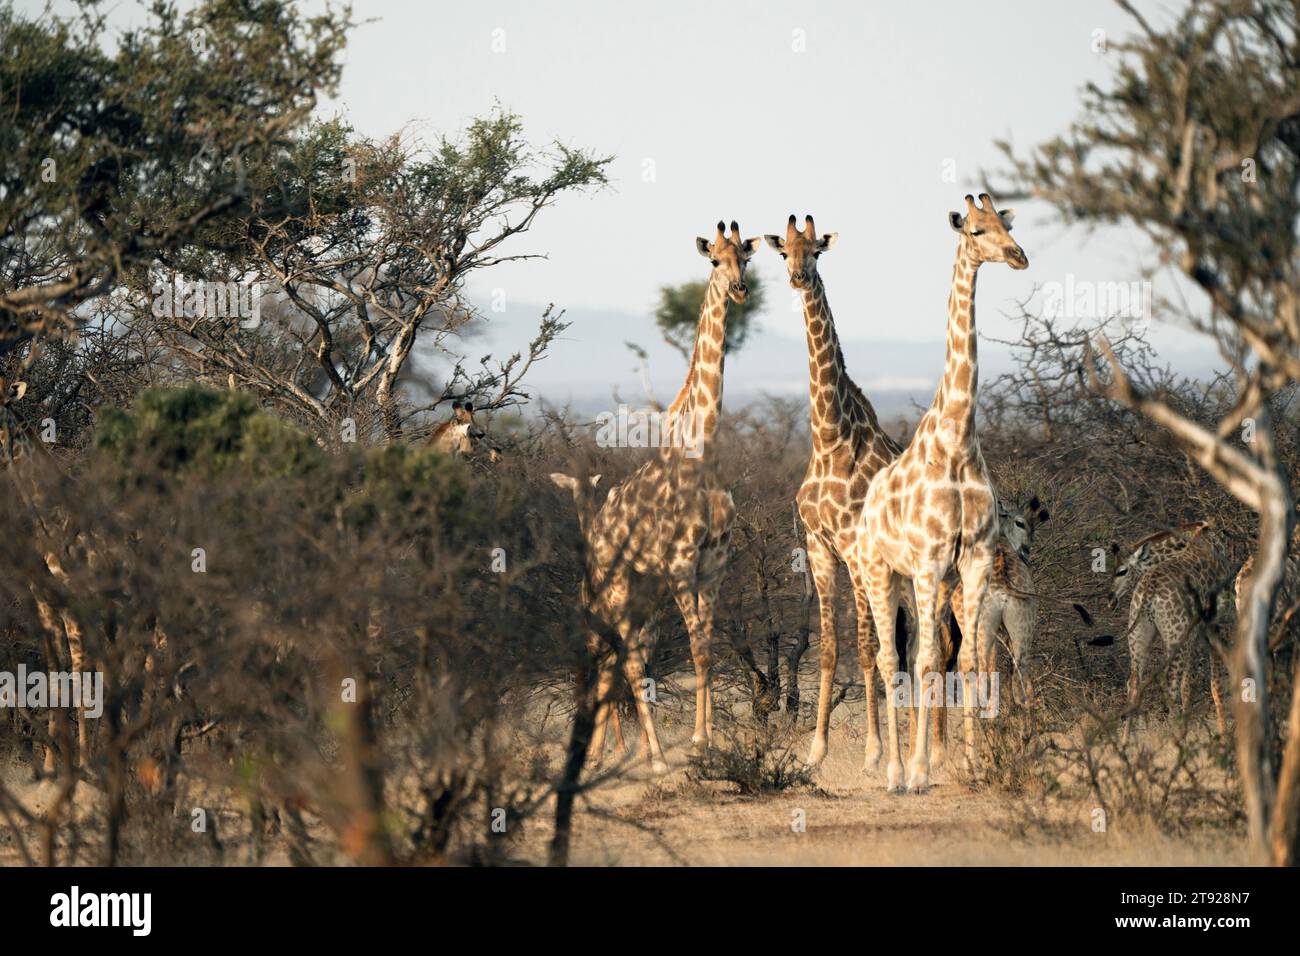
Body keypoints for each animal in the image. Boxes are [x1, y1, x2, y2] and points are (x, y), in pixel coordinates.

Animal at [559, 221, 757, 772]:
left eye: (746, 258)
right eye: (714, 261)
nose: (740, 290)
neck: (701, 450)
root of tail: (596, 532)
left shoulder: (714, 564)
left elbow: (706, 648)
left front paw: (708, 740)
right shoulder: (680, 562)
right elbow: (699, 648)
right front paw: (695, 744)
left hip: (643, 594)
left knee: (627, 661)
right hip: (620, 592)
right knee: (624, 661)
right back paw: (653, 759)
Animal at [762, 214, 903, 769]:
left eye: (817, 251)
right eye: (784, 252)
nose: (798, 277)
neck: (830, 437)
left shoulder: (857, 549)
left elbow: (866, 647)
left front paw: (873, 751)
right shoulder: (821, 549)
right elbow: (828, 649)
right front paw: (816, 749)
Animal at [857, 193, 1028, 792]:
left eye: (1007, 223)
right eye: (976, 230)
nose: (1018, 256)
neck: (957, 440)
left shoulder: (971, 559)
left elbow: (971, 660)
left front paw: (972, 764)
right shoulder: (930, 558)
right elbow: (930, 662)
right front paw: (916, 772)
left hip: (917, 583)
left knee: (916, 655)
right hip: (879, 572)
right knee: (892, 660)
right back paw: (892, 771)